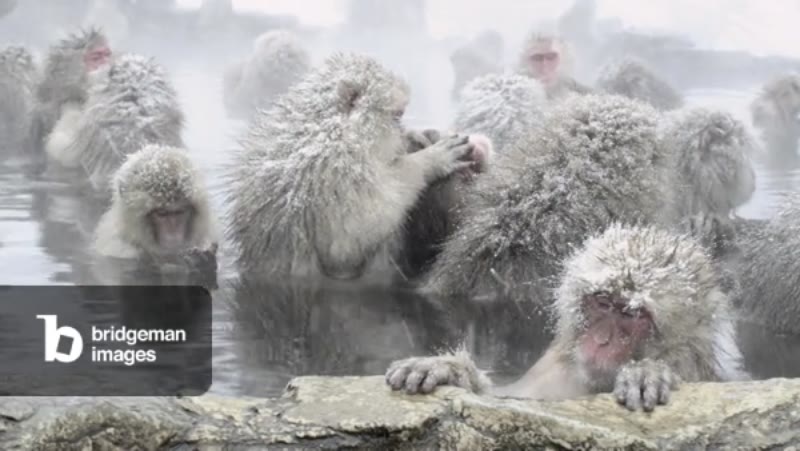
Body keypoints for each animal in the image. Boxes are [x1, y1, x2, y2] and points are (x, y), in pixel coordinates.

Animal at [225, 52, 481, 282]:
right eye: (396, 117)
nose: (403, 135)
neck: (334, 130)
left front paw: (419, 136)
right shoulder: (333, 170)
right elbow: (351, 238)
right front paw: (431, 160)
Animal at [386, 223, 749, 412]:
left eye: (632, 313)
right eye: (603, 302)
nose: (601, 340)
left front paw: (647, 372)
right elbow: (507, 397)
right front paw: (449, 370)